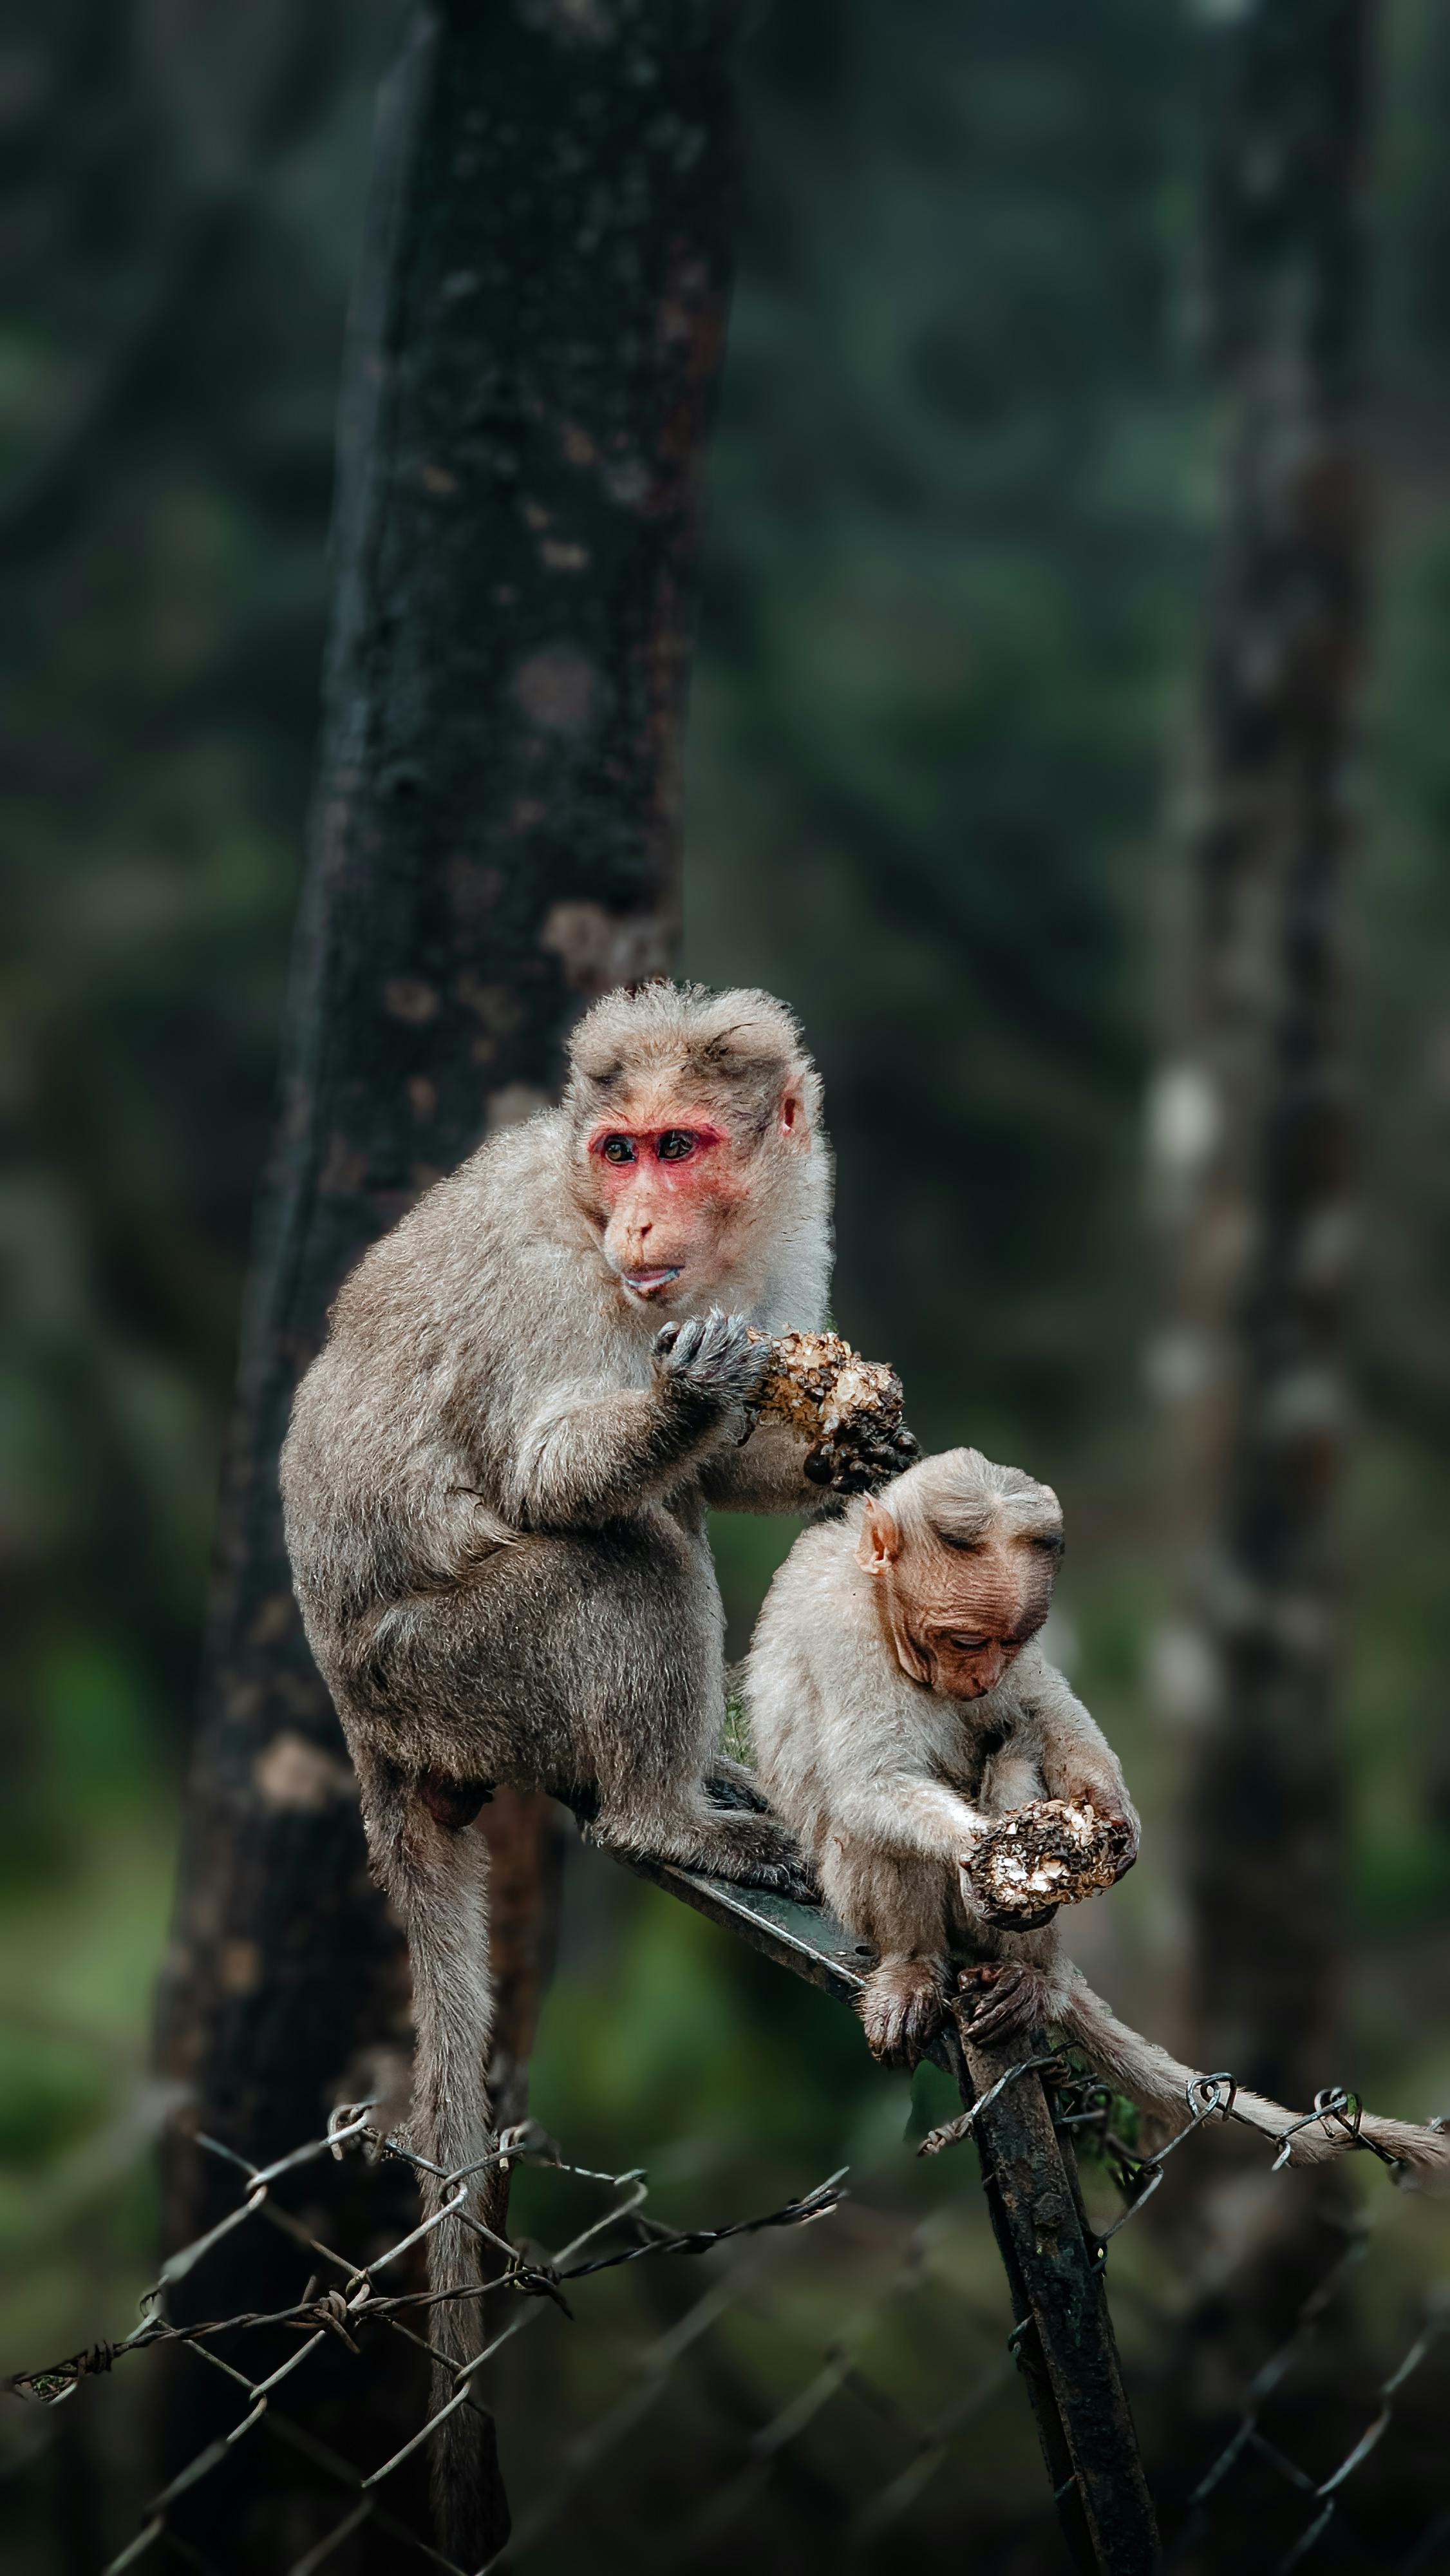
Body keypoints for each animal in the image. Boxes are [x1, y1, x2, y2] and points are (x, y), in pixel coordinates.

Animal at [280, 981, 909, 2558]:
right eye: (617, 1150)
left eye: (679, 1145)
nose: (637, 1218)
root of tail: (367, 1729)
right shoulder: (556, 1275)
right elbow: (559, 1476)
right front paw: (689, 1403)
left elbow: (740, 1460)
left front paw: (852, 1435)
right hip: (453, 1675)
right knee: (620, 1554)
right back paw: (659, 1818)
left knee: (660, 1529)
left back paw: (708, 1784)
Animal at [744, 1447, 1450, 2183]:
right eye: (964, 1640)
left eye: (1007, 1642)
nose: (982, 1678)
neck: (884, 1609)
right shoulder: (842, 1632)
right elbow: (870, 1779)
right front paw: (990, 1852)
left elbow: (1046, 1704)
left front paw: (1112, 1818)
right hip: (865, 1907)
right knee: (877, 1828)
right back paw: (914, 1966)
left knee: (1014, 1746)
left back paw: (1030, 1979)